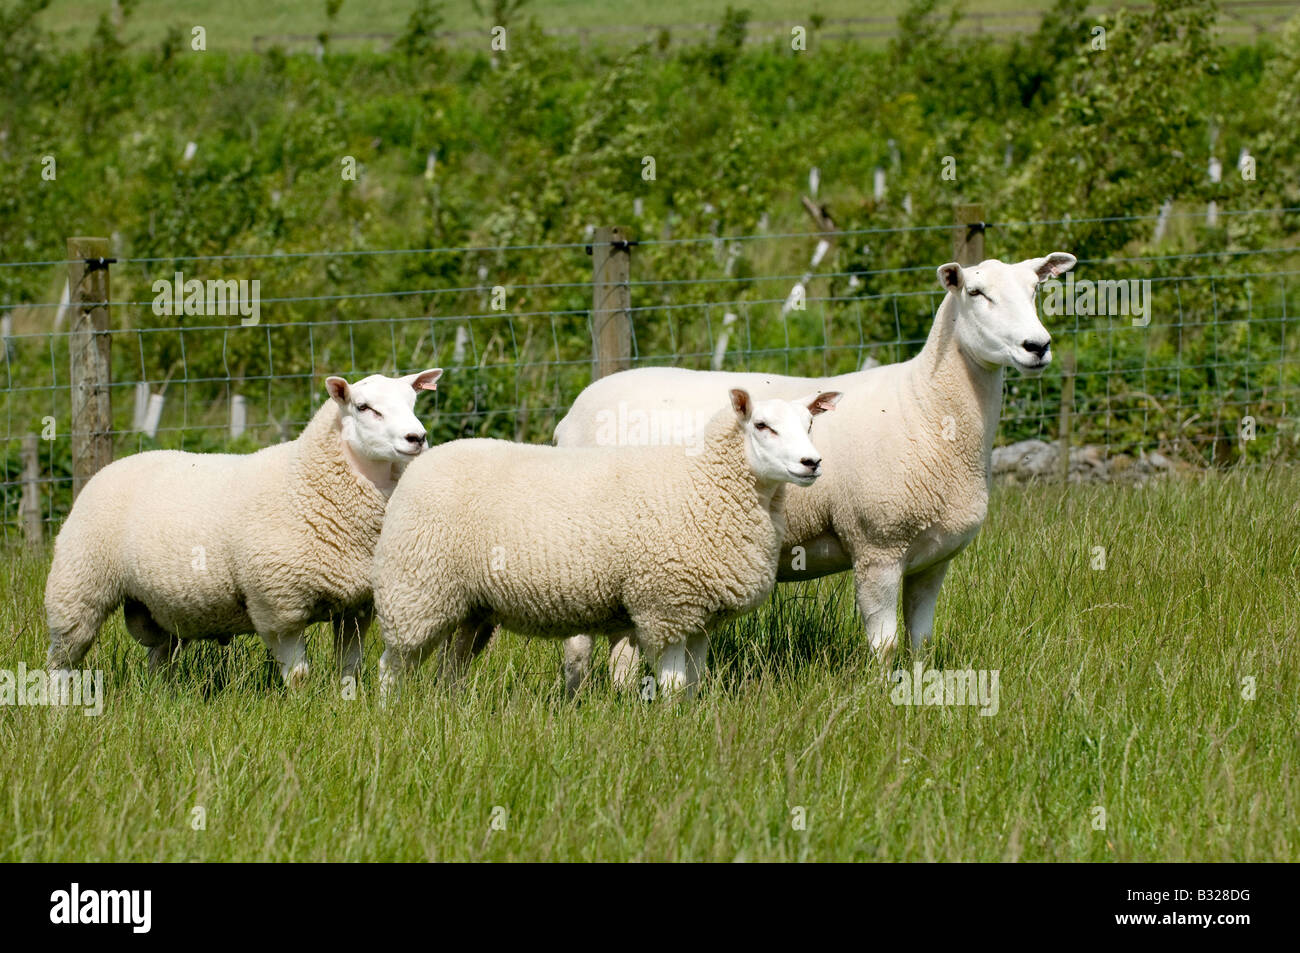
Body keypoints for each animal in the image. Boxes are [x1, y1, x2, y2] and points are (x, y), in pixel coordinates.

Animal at [44, 368, 443, 688]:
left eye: (413, 401)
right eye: (363, 407)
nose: (417, 437)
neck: (305, 481)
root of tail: (114, 465)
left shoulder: (356, 606)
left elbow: (350, 668)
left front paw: (347, 704)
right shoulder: (278, 606)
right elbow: (299, 677)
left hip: (162, 607)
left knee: (159, 657)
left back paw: (160, 697)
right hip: (78, 586)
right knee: (62, 659)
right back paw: (58, 707)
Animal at [372, 388, 841, 700]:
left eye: (810, 425)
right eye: (762, 426)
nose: (812, 463)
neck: (705, 482)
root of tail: (425, 461)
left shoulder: (700, 616)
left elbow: (693, 682)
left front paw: (692, 720)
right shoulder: (667, 605)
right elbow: (673, 684)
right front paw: (674, 728)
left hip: (471, 607)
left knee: (450, 667)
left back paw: (447, 709)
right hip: (415, 591)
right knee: (392, 665)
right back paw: (392, 712)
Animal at [554, 253, 1077, 691]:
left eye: (1036, 289)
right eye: (976, 292)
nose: (1038, 346)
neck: (925, 405)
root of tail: (571, 415)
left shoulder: (934, 558)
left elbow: (920, 642)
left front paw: (919, 690)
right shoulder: (877, 545)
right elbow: (885, 646)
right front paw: (879, 697)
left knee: (622, 648)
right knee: (578, 642)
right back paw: (577, 698)